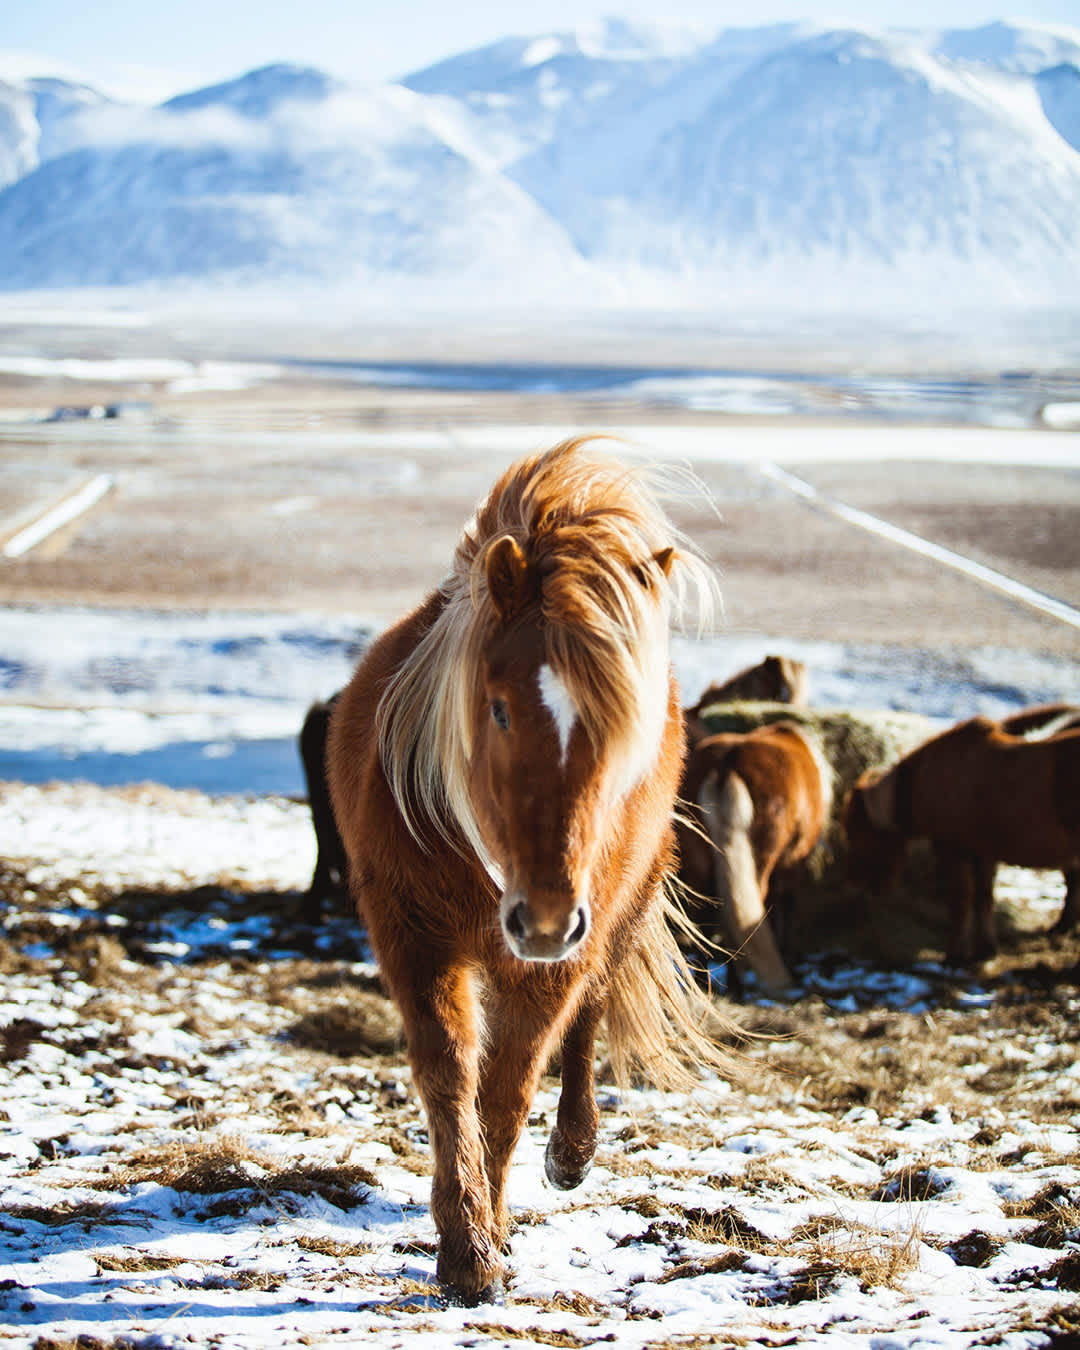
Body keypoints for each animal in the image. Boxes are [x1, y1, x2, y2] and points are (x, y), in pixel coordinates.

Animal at [327, 437, 734, 1303]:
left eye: (621, 728)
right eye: (500, 706)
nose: (543, 918)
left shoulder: (557, 958)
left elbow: (508, 1091)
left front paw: (489, 1233)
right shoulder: (410, 934)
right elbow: (449, 1075)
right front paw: (466, 1248)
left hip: (614, 914)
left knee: (590, 1017)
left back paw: (572, 1154)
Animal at [678, 721, 830, 996]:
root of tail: (725, 764)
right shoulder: (793, 863)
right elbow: (786, 908)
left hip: (700, 867)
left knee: (705, 917)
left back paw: (704, 982)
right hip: (760, 864)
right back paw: (737, 984)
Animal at [842, 705, 1080, 962]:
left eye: (856, 832)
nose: (852, 881)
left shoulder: (953, 849)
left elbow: (961, 900)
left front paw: (955, 954)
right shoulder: (983, 854)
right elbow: (983, 899)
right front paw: (985, 949)